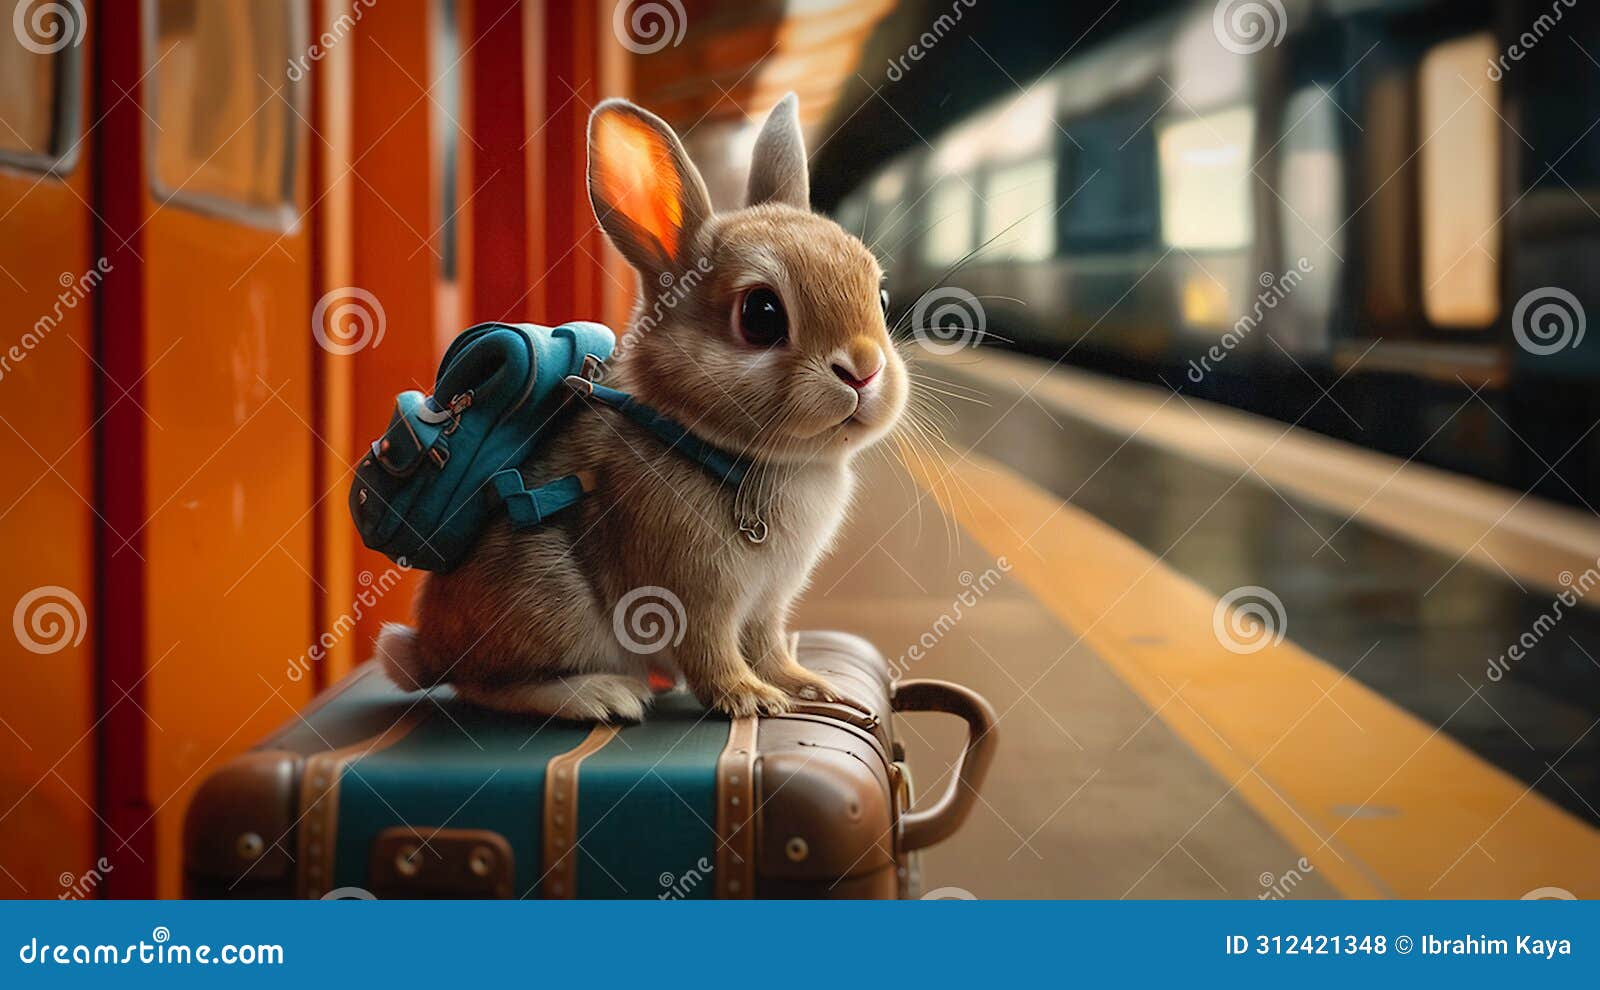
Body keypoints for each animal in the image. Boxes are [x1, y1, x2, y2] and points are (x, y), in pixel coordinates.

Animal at [375, 93, 909, 723]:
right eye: (761, 315)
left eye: (881, 297)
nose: (864, 369)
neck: (713, 447)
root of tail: (427, 649)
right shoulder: (690, 595)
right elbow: (711, 652)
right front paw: (749, 699)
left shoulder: (766, 603)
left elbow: (770, 646)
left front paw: (808, 685)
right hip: (550, 603)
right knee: (484, 686)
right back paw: (601, 695)